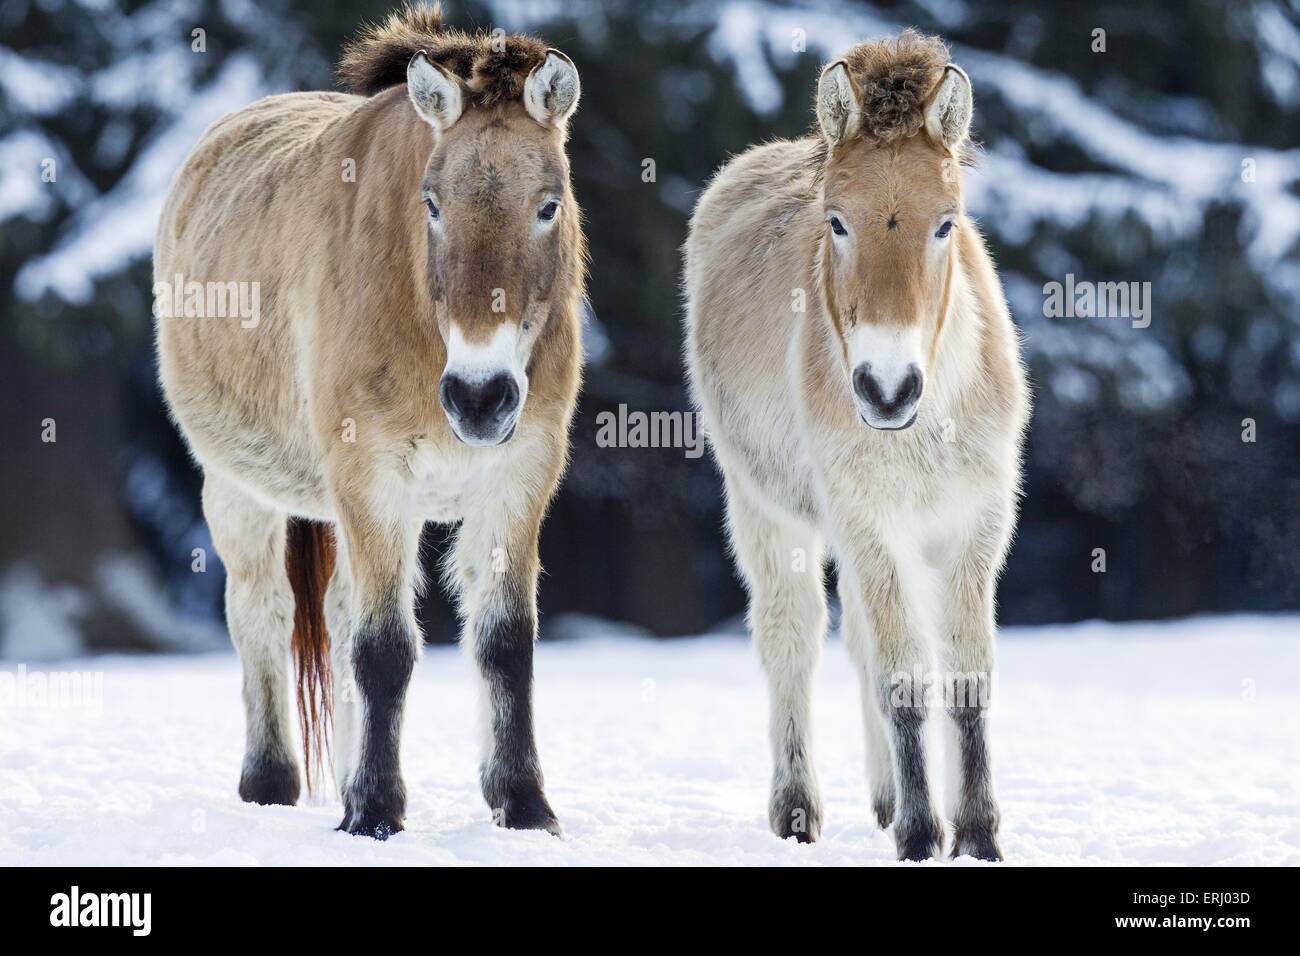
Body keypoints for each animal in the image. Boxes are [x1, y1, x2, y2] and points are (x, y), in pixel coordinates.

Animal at [153, 4, 585, 839]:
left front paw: (523, 806)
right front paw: (376, 812)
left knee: (339, 613)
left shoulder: (518, 480)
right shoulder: (371, 479)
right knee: (263, 612)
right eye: (433, 204)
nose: (480, 397)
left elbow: (504, 645)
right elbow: (384, 649)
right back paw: (270, 781)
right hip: (238, 487)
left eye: (547, 205)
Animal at [683, 32, 1030, 860]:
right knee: (795, 638)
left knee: (860, 644)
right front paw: (921, 835)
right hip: (768, 510)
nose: (886, 388)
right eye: (837, 222)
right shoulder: (871, 524)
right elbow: (903, 680)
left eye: (946, 223)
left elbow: (965, 676)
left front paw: (976, 835)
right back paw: (799, 810)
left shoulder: (976, 527)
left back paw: (882, 796)